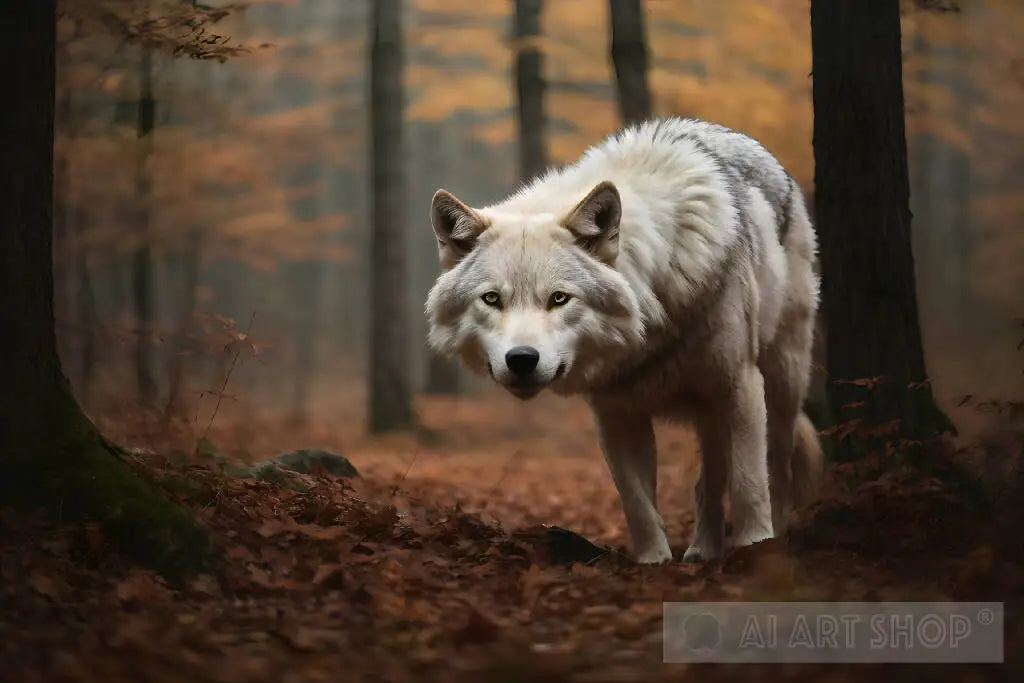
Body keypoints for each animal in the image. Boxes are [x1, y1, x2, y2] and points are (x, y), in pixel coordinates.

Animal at [425, 117, 823, 563]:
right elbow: (636, 501)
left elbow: (749, 482)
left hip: (780, 383)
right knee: (708, 481)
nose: (522, 359)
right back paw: (702, 550)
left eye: (559, 298)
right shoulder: (614, 410)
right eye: (492, 299)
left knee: (778, 467)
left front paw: (756, 550)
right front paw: (653, 562)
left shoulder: (739, 384)